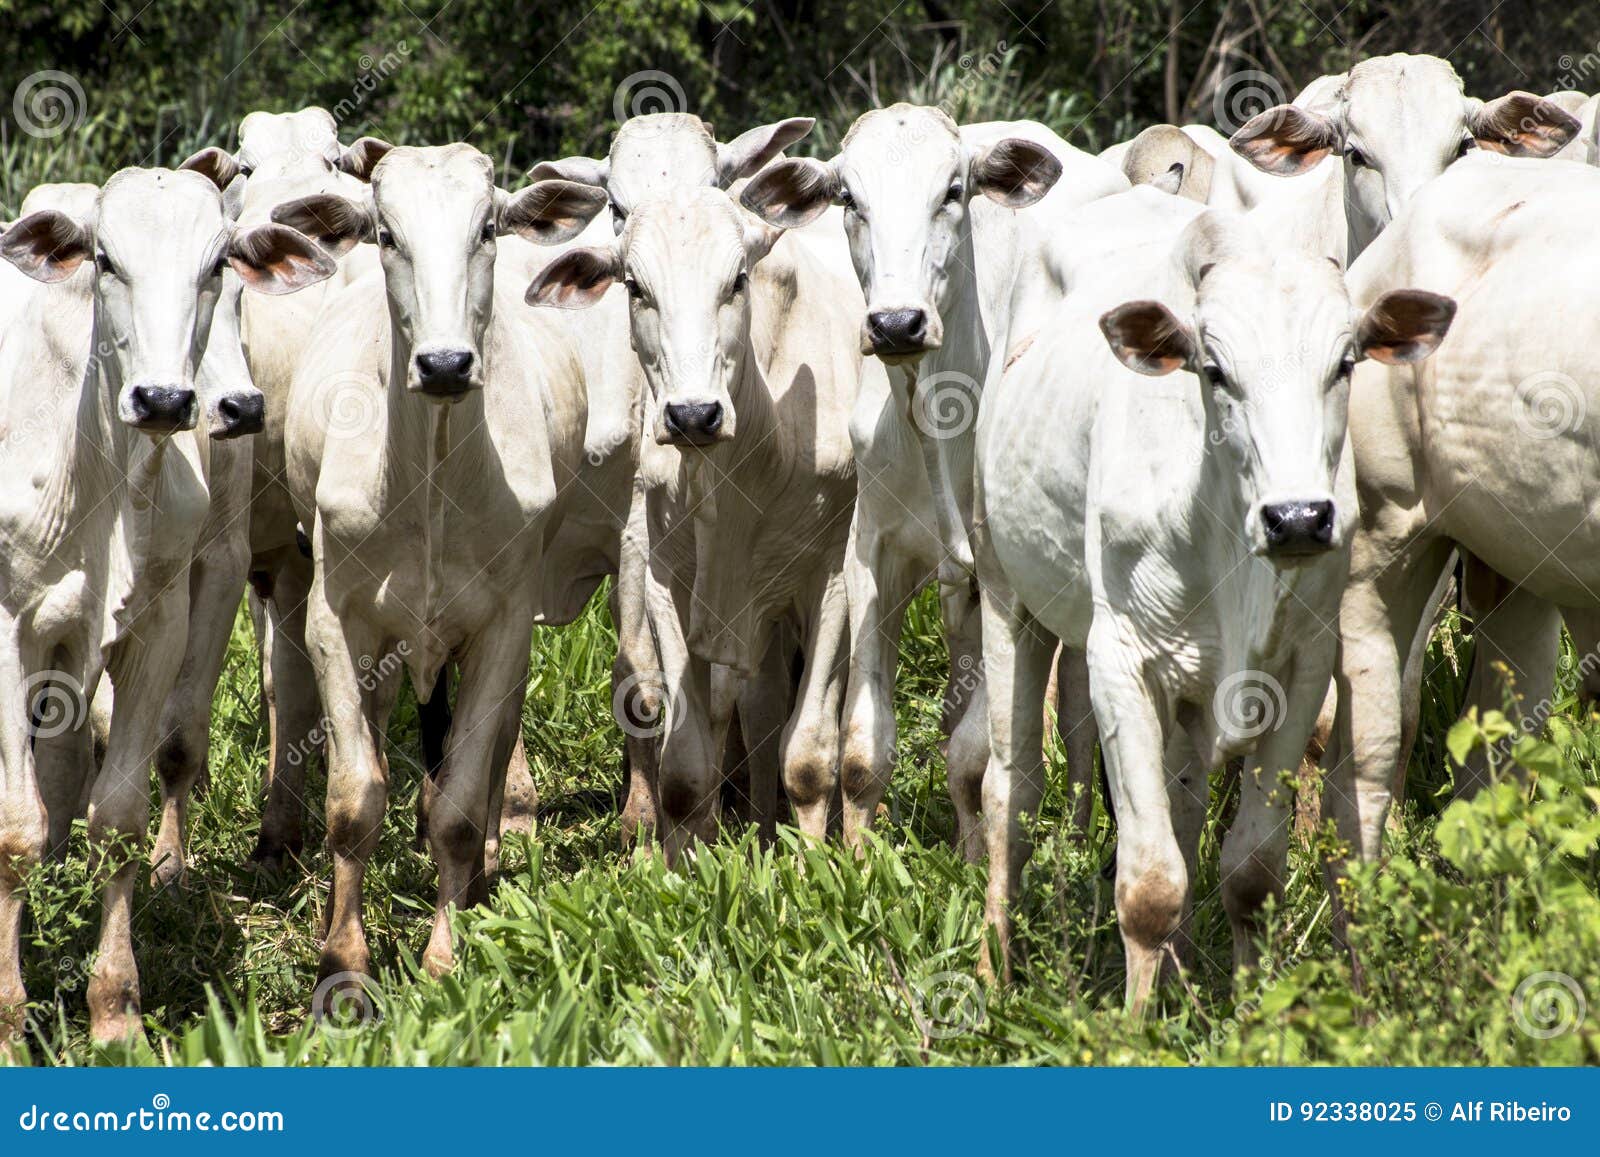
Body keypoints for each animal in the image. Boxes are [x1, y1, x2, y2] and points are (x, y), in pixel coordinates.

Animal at [0, 165, 333, 1040]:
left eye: (217, 265)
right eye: (105, 259)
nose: (161, 399)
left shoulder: (158, 624)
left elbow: (118, 813)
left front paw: (115, 1010)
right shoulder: (6, 633)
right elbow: (12, 826)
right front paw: (9, 1014)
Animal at [269, 145, 605, 983]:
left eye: (486, 228)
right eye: (387, 233)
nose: (447, 362)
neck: (432, 477)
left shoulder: (505, 627)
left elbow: (456, 807)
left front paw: (446, 956)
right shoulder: (336, 621)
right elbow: (355, 799)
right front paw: (343, 962)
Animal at [526, 184, 867, 862]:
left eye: (737, 280)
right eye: (635, 286)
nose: (692, 415)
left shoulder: (830, 581)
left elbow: (809, 756)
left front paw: (813, 867)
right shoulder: (668, 581)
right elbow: (685, 768)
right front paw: (685, 866)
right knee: (757, 713)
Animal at [741, 104, 1128, 857]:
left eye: (953, 190)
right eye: (848, 198)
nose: (897, 323)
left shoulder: (1006, 579)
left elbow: (977, 752)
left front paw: (981, 856)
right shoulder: (871, 551)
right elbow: (865, 747)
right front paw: (858, 861)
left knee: (1074, 711)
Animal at [971, 183, 1453, 1009]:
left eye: (1345, 362)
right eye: (1215, 369)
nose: (1298, 517)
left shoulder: (1300, 668)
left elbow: (1249, 871)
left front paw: (1249, 1005)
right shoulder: (1118, 663)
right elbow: (1150, 884)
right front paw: (1134, 1022)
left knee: (1185, 800)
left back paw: (1183, 968)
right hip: (1008, 597)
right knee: (1013, 790)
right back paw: (992, 972)